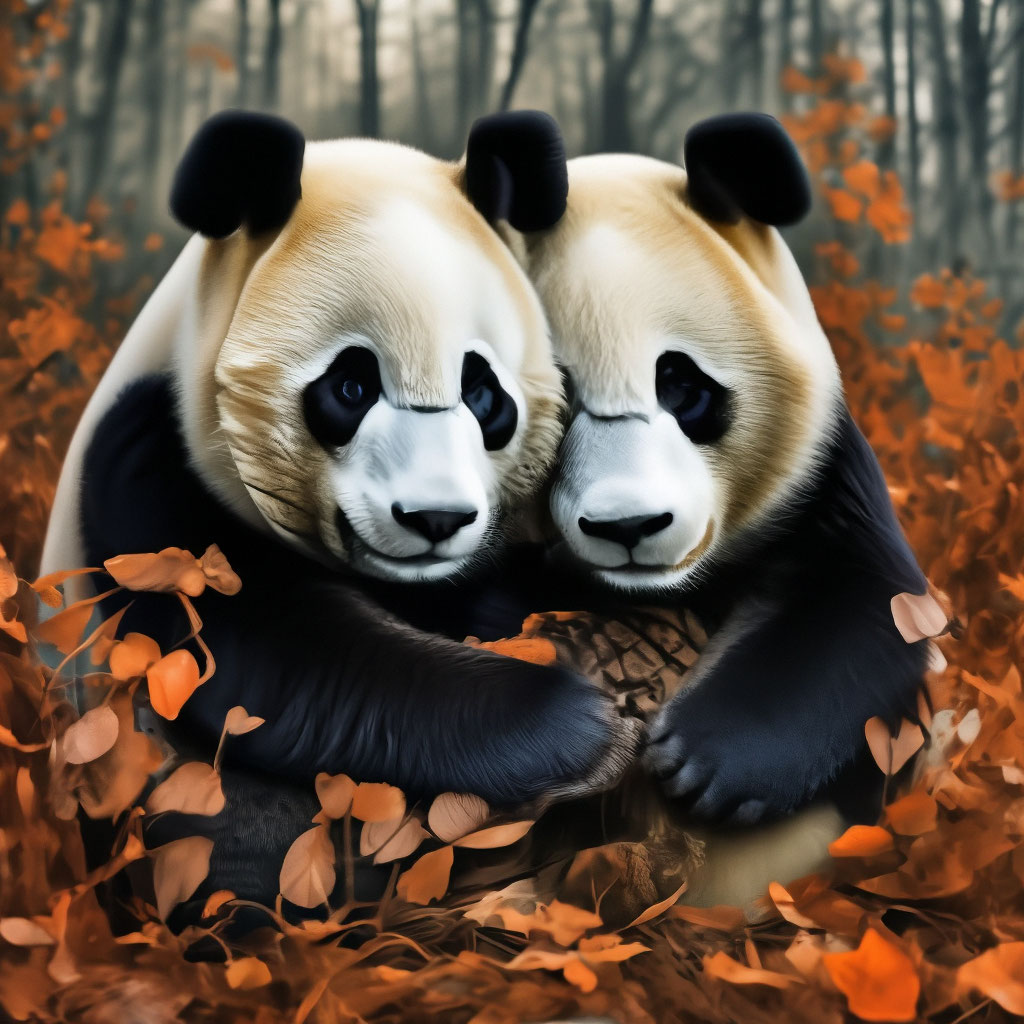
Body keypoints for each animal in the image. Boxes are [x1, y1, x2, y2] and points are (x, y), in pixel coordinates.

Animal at [40, 111, 641, 913]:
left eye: (482, 392)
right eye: (351, 387)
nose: (435, 519)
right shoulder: (144, 463)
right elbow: (267, 653)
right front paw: (575, 725)